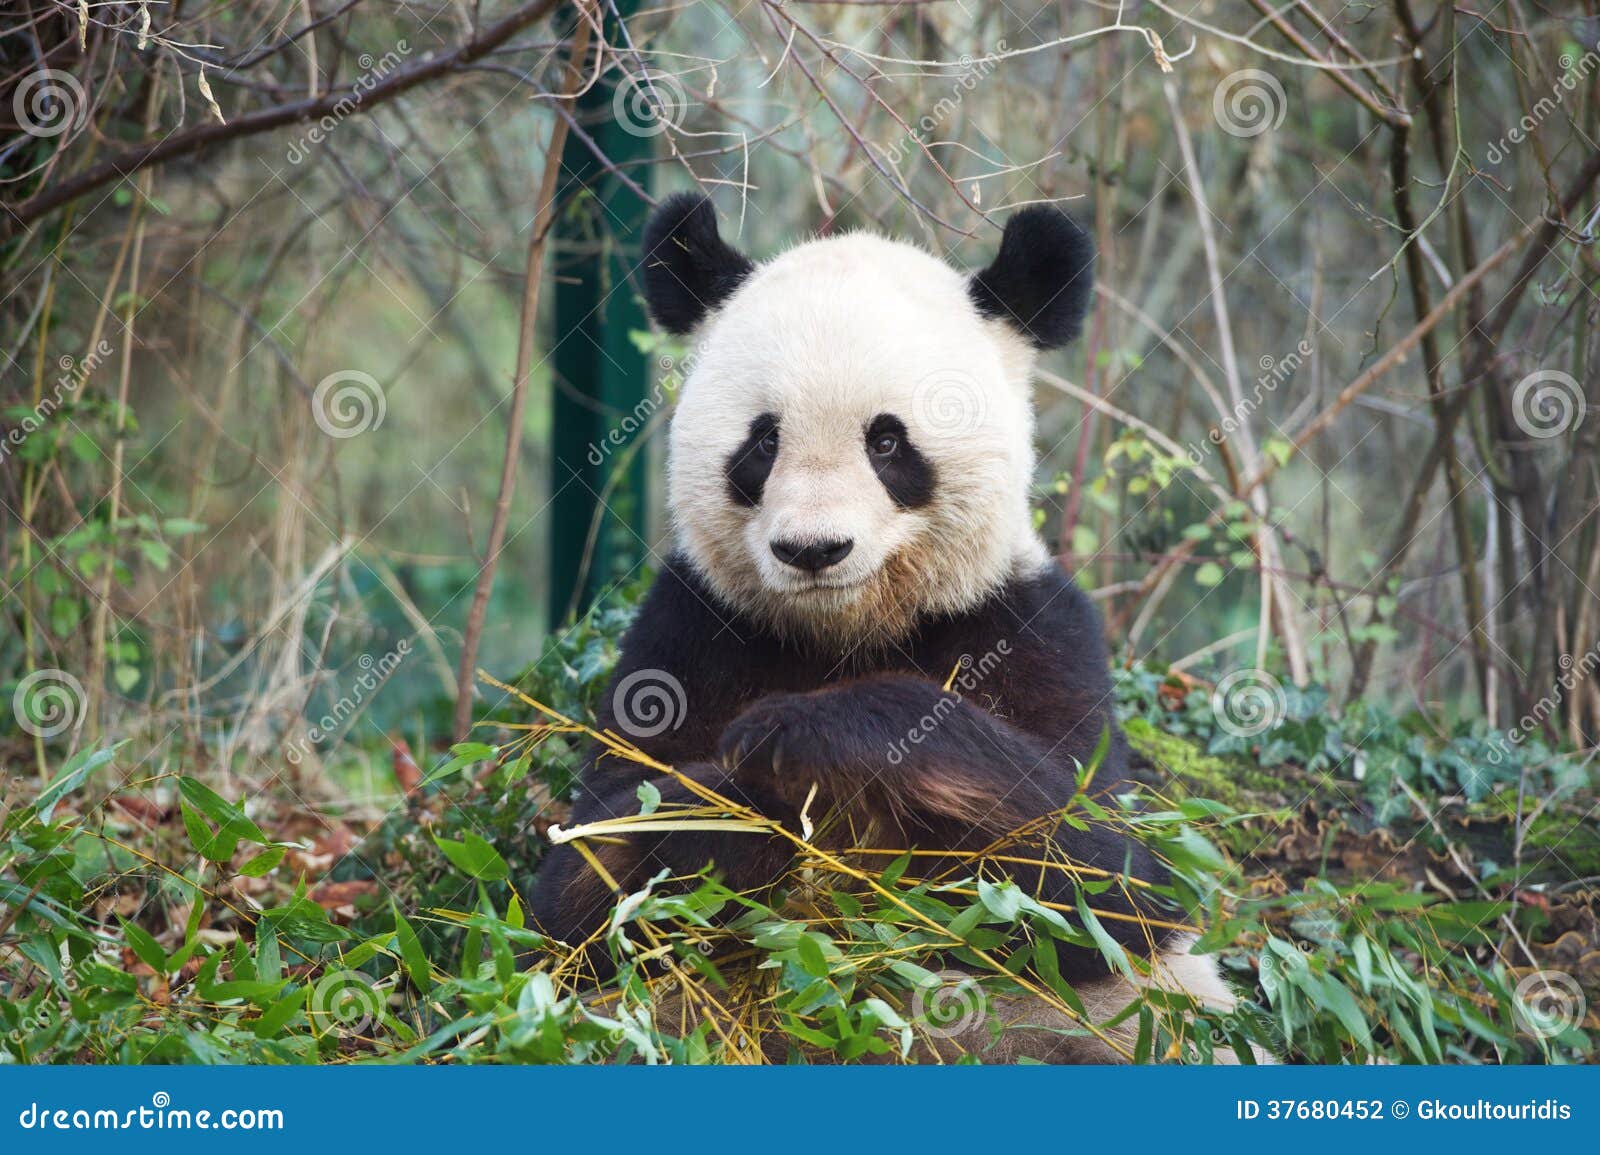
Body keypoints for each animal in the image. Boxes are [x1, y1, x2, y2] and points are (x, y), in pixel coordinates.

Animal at [529, 193, 1248, 1063]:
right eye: (763, 441)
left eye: (887, 440)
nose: (813, 549)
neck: (846, 631)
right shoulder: (688, 629)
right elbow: (578, 885)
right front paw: (746, 801)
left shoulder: (1032, 622)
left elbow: (1111, 878)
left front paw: (803, 738)